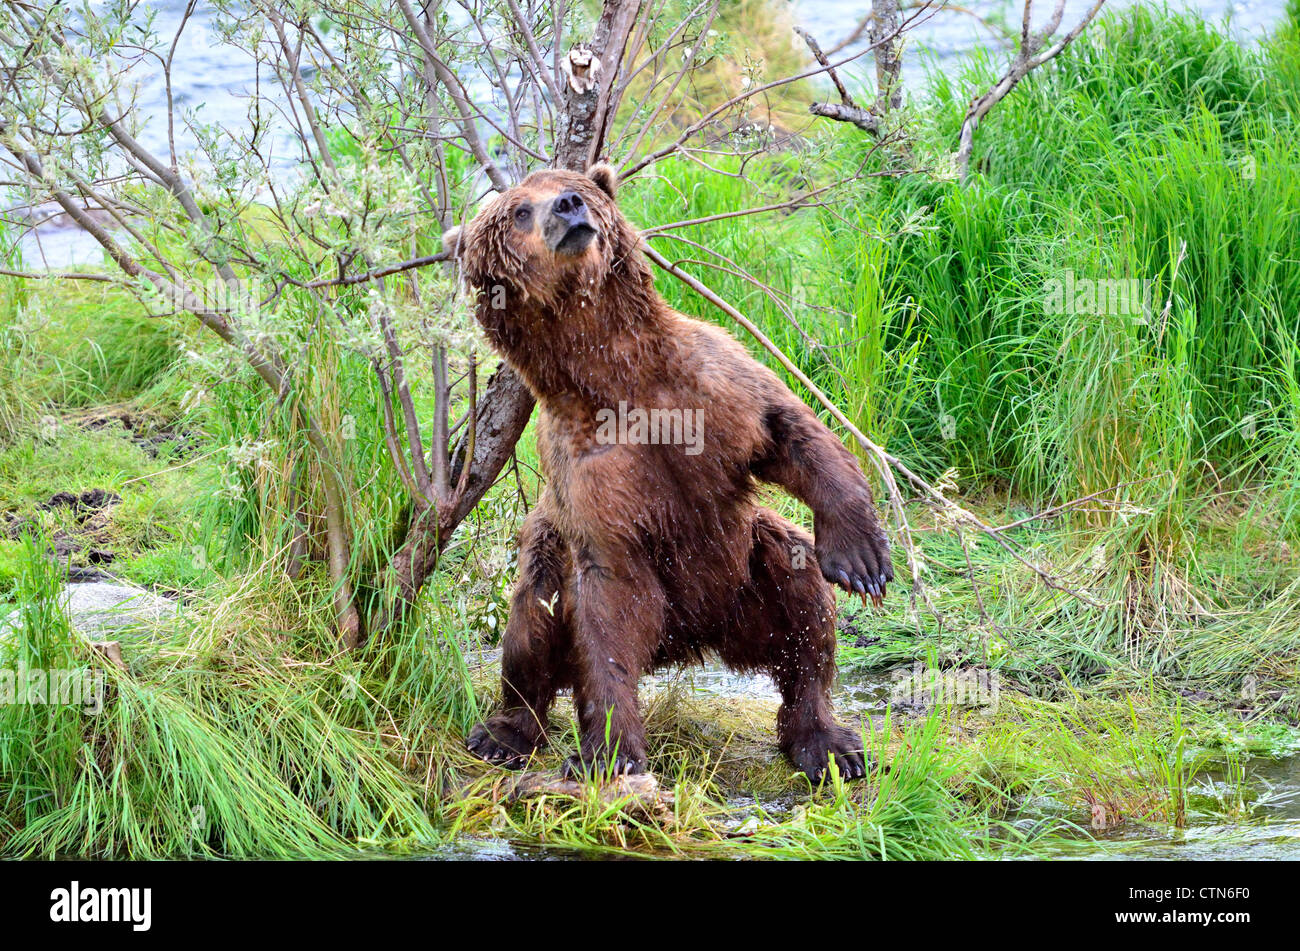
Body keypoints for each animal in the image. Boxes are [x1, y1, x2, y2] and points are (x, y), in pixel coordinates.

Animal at [449, 163, 894, 779]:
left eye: (577, 190)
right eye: (518, 211)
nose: (567, 206)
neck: (615, 374)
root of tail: (689, 641)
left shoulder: (712, 379)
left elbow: (791, 429)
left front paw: (861, 559)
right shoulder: (590, 470)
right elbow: (608, 602)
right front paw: (610, 753)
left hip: (749, 569)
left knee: (802, 604)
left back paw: (829, 742)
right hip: (552, 548)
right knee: (532, 621)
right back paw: (503, 732)